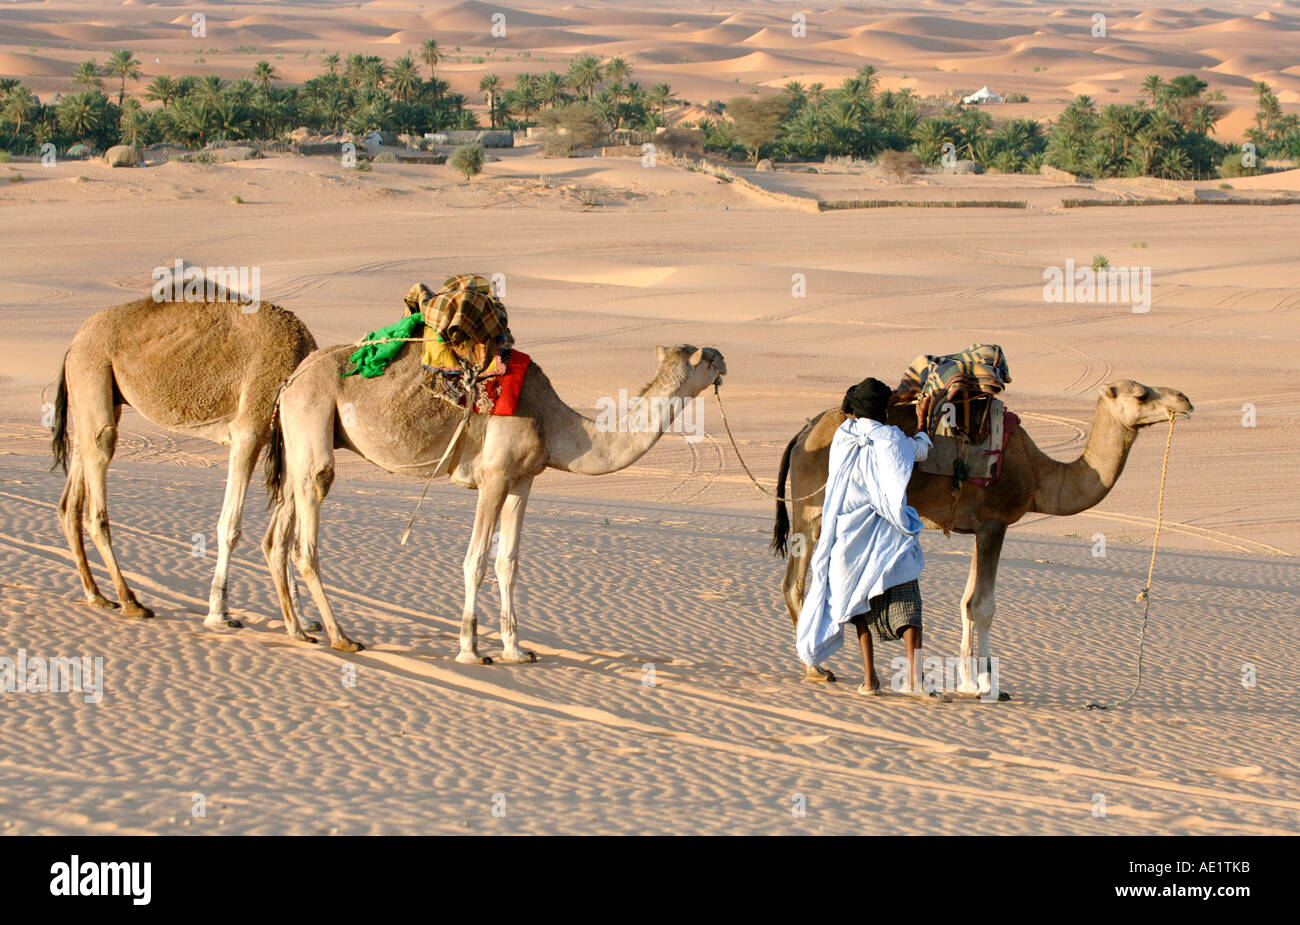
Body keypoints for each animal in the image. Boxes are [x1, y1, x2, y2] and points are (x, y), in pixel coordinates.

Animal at [52, 296, 317, 627]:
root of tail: (74, 344)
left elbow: (285, 531)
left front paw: (304, 621)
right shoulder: (250, 430)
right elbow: (230, 526)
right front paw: (219, 613)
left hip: (98, 395)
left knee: (71, 496)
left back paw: (97, 595)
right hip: (92, 370)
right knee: (98, 479)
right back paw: (131, 601)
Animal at [262, 340, 726, 659]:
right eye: (705, 357)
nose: (725, 359)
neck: (555, 423)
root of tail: (290, 379)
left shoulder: (523, 480)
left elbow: (508, 563)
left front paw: (516, 650)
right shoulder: (493, 476)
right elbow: (476, 561)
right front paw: (470, 649)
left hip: (302, 439)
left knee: (278, 533)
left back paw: (299, 630)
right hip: (313, 420)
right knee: (307, 534)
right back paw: (341, 637)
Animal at [772, 378, 1192, 698]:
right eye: (1141, 395)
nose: (1184, 399)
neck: (1039, 475)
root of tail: (803, 433)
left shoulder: (978, 528)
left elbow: (966, 602)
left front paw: (968, 681)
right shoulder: (995, 523)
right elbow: (984, 605)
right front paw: (988, 686)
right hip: (812, 509)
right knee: (796, 582)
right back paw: (816, 668)